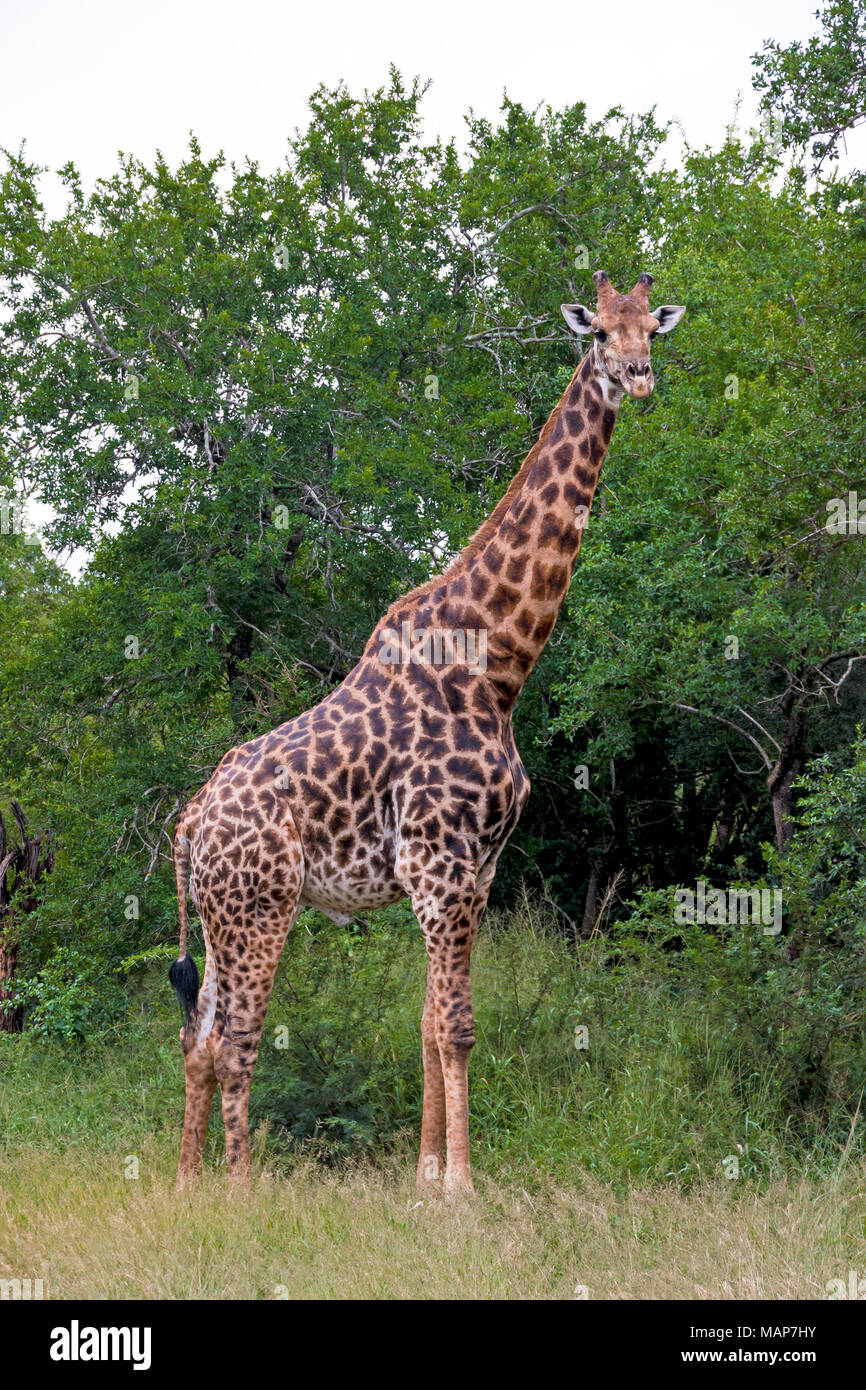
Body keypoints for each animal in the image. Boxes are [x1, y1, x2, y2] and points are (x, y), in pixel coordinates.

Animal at [169, 270, 685, 1194]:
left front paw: (424, 1180)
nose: (637, 377)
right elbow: (457, 1027)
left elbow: (427, 1023)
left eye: (651, 332)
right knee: (235, 1043)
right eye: (597, 332)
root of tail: (191, 823)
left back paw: (191, 1186)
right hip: (260, 907)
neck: (499, 664)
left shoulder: (473, 870)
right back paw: (241, 1188)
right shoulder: (438, 865)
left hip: (229, 914)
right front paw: (463, 1187)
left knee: (198, 1040)